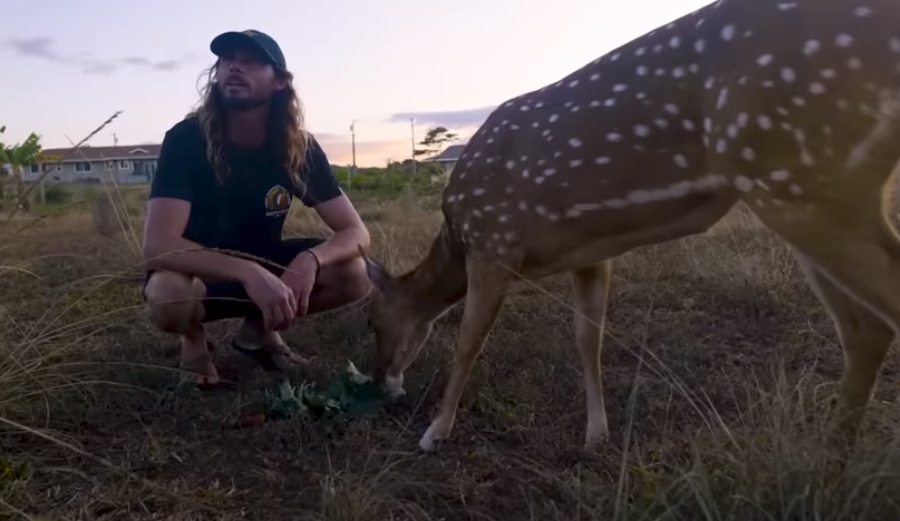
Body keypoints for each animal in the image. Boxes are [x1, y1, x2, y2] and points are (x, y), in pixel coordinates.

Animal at [360, 0, 900, 452]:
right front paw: (596, 434)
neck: (457, 235)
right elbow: (588, 340)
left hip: (797, 170)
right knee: (865, 329)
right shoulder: (590, 254)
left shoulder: (495, 242)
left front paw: (436, 432)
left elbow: (470, 341)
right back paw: (829, 462)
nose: (381, 380)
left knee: (877, 316)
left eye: (373, 319)